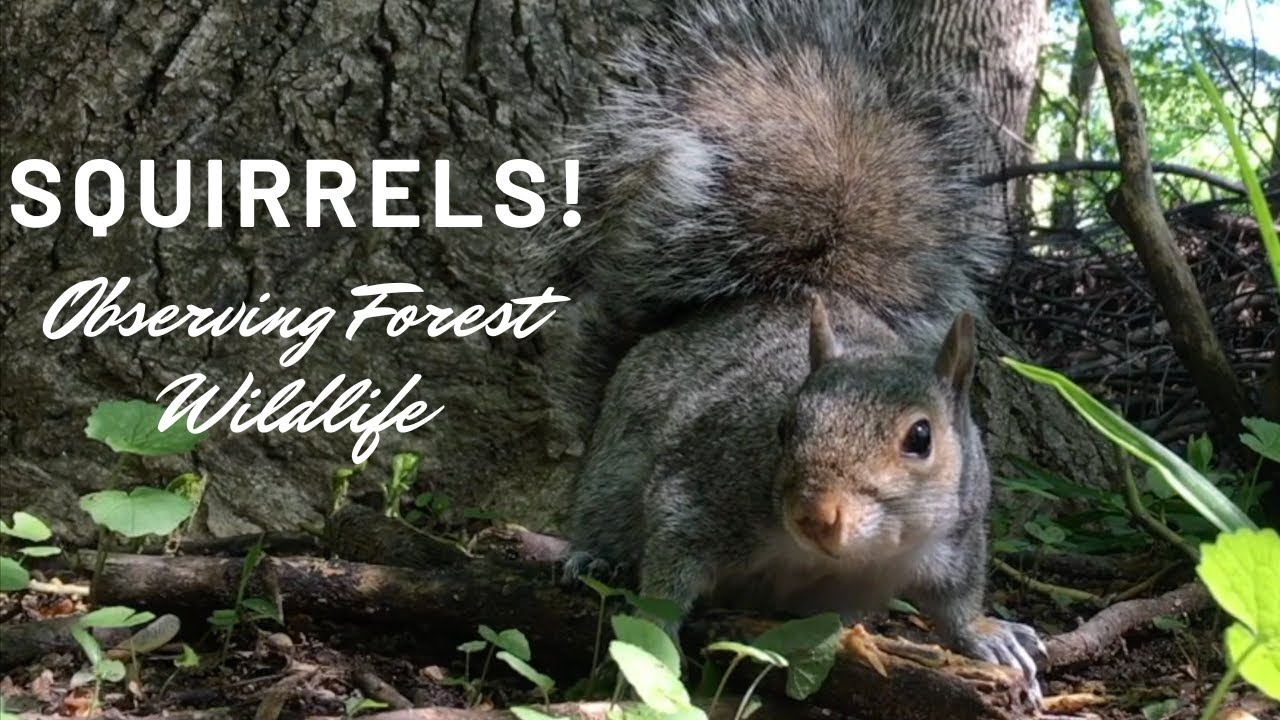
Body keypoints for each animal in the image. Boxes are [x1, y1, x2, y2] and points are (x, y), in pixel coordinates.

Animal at [525, 0, 1046, 700]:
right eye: (782, 426)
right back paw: (593, 556)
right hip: (611, 475)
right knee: (604, 514)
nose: (815, 513)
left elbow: (956, 601)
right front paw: (651, 650)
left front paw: (990, 636)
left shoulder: (960, 530)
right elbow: (667, 579)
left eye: (922, 438)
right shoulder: (697, 494)